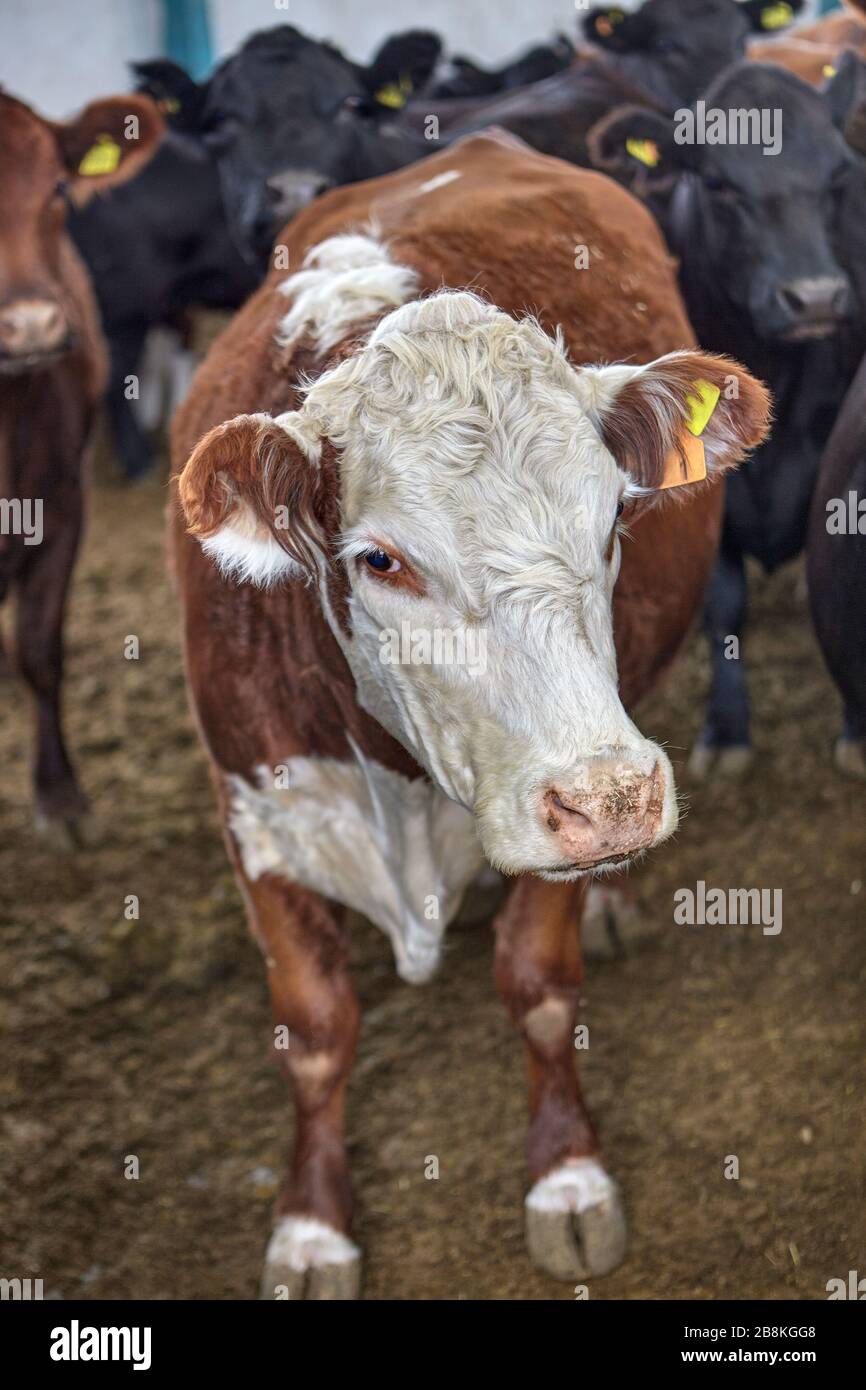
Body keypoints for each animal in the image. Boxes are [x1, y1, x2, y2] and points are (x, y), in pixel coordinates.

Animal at [169, 131, 769, 1296]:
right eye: (380, 560)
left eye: (611, 521)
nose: (613, 797)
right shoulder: (252, 813)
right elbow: (315, 1026)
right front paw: (310, 1227)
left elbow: (537, 986)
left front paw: (568, 1177)